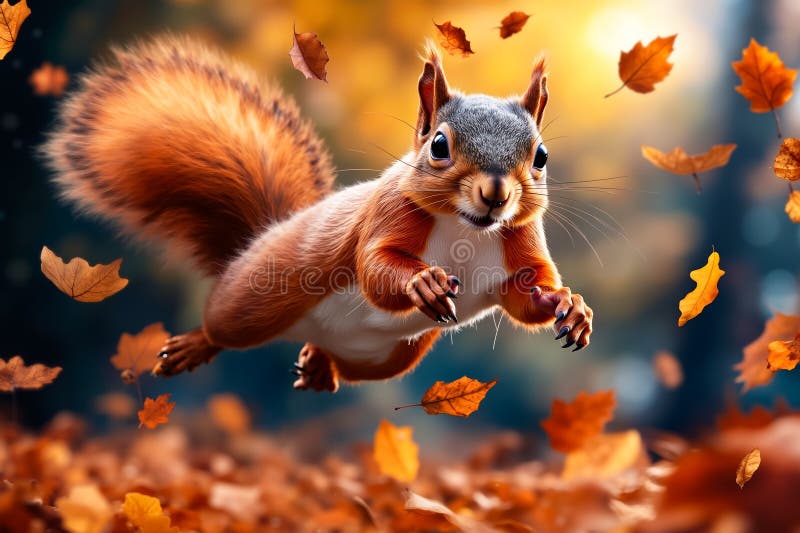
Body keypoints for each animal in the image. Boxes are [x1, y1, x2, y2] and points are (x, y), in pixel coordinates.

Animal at [43, 35, 593, 392]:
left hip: (388, 358)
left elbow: (524, 294)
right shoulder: (387, 215)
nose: (497, 194)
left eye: (540, 156)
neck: (468, 230)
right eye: (439, 145)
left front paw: (570, 306)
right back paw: (194, 346)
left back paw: (316, 366)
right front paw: (424, 282)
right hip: (253, 300)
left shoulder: (518, 242)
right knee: (222, 326)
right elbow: (375, 270)